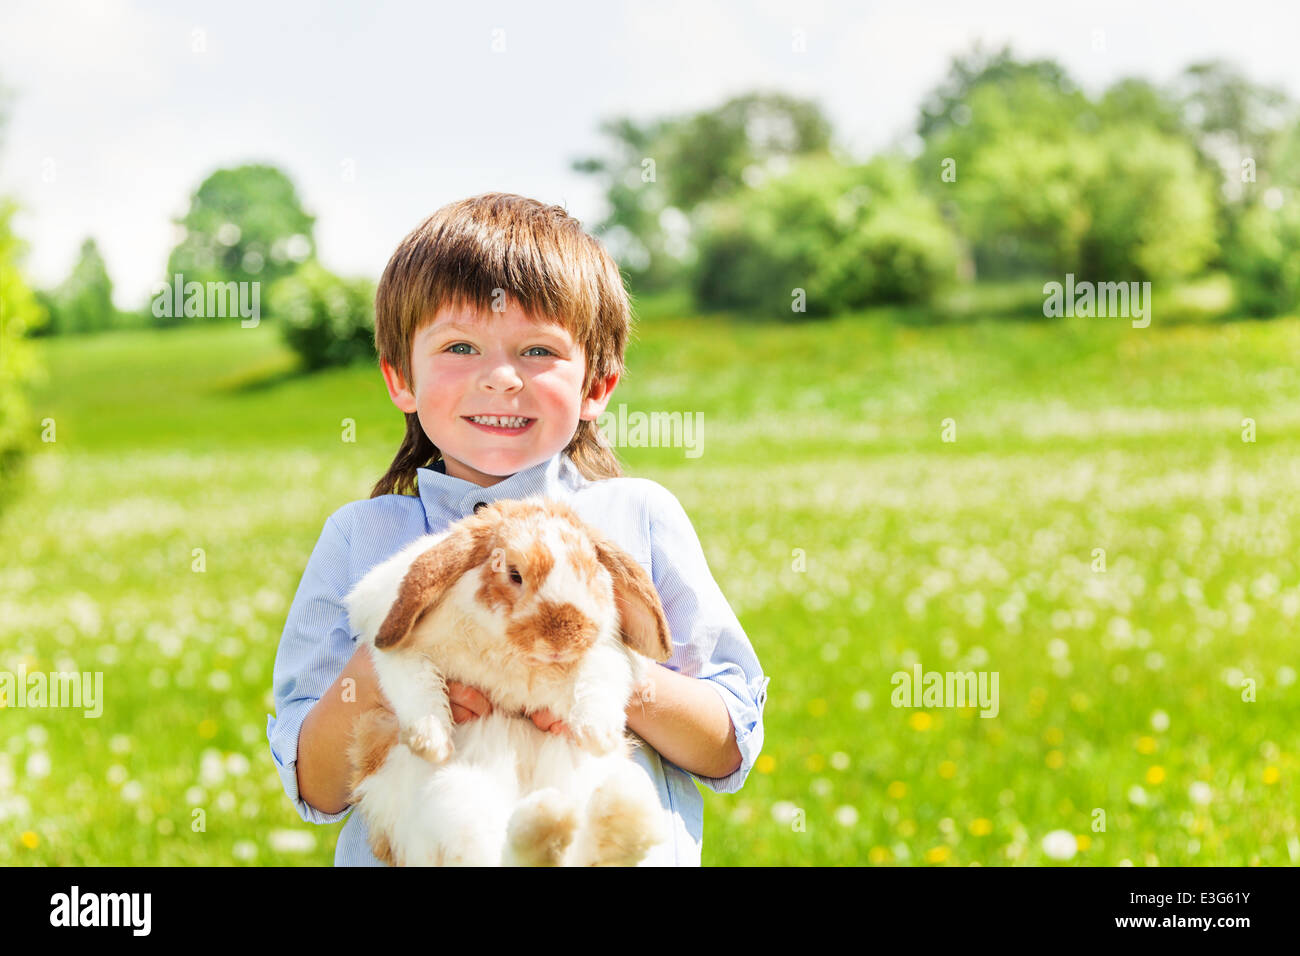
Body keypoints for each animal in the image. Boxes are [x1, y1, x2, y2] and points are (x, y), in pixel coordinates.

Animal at [342, 495, 674, 866]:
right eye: (514, 574)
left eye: (590, 571)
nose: (562, 639)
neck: (515, 658)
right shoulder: (400, 655)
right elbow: (416, 686)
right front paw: (432, 742)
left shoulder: (606, 654)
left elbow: (600, 682)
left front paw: (597, 735)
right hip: (453, 799)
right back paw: (553, 818)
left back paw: (620, 810)